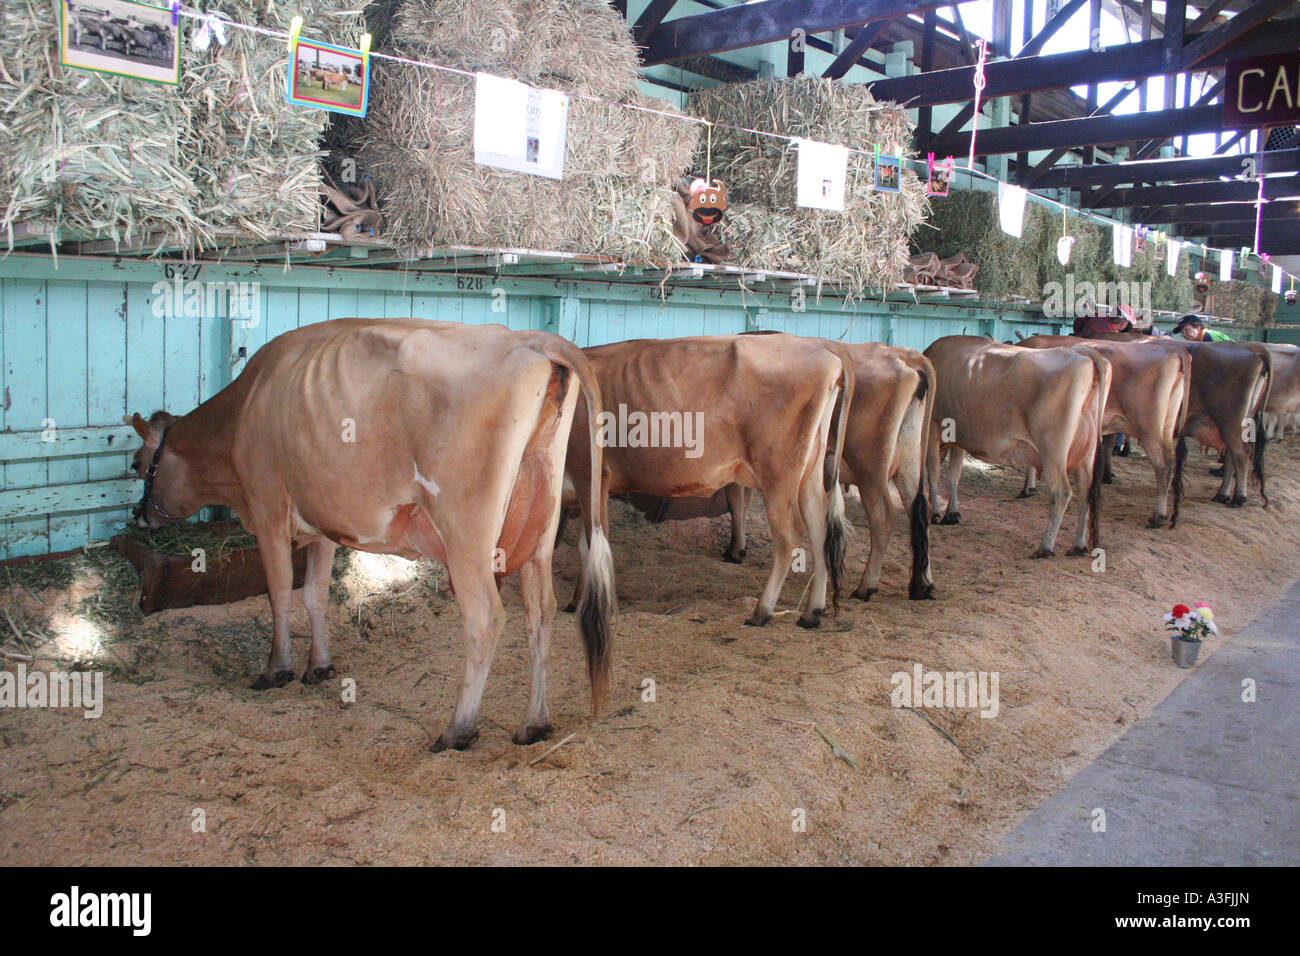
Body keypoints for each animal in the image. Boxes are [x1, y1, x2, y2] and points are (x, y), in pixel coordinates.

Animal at [127, 318, 616, 753]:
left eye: (136, 465)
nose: (138, 515)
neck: (242, 411)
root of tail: (529, 338)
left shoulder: (267, 511)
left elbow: (279, 594)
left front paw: (275, 669)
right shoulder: (322, 523)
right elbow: (315, 596)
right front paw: (319, 666)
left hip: (467, 534)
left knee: (486, 619)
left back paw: (458, 730)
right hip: (540, 526)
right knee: (541, 612)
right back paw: (534, 724)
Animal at [563, 333, 854, 628]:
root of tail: (821, 348)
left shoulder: (593, 476)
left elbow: (593, 545)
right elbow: (584, 547)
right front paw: (576, 601)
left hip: (778, 473)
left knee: (790, 535)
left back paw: (762, 611)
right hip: (810, 469)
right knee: (819, 526)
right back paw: (811, 612)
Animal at [720, 341, 936, 602]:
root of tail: (905, 354)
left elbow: (735, 502)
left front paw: (735, 550)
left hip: (869, 466)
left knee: (883, 515)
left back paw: (866, 586)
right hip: (909, 461)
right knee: (920, 513)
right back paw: (923, 585)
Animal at [923, 336, 1111, 558]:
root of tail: (1082, 354)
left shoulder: (933, 427)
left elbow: (933, 473)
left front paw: (934, 513)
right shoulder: (959, 436)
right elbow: (954, 474)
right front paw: (951, 513)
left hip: (1053, 451)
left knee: (1062, 492)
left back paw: (1045, 547)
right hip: (1087, 453)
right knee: (1085, 492)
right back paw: (1078, 545)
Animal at [1017, 335, 1191, 529]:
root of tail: (1174, 351)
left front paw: (1028, 487)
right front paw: (1030, 487)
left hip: (1149, 428)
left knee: (1162, 464)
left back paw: (1157, 516)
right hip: (1166, 426)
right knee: (1171, 459)